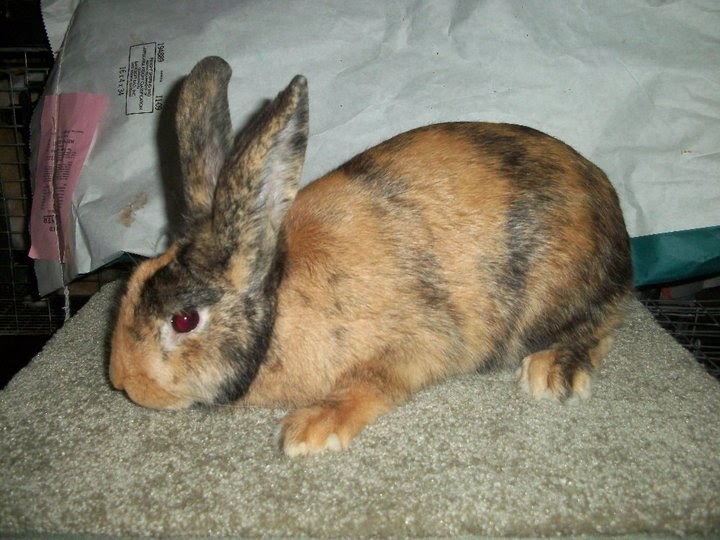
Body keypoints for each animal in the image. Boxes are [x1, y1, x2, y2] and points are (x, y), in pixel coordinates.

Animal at [110, 56, 633, 457]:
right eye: (133, 280)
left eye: (183, 321)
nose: (121, 381)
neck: (280, 303)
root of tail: (612, 209)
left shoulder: (417, 344)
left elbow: (372, 385)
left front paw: (309, 430)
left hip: (562, 291)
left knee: (604, 325)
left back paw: (553, 371)